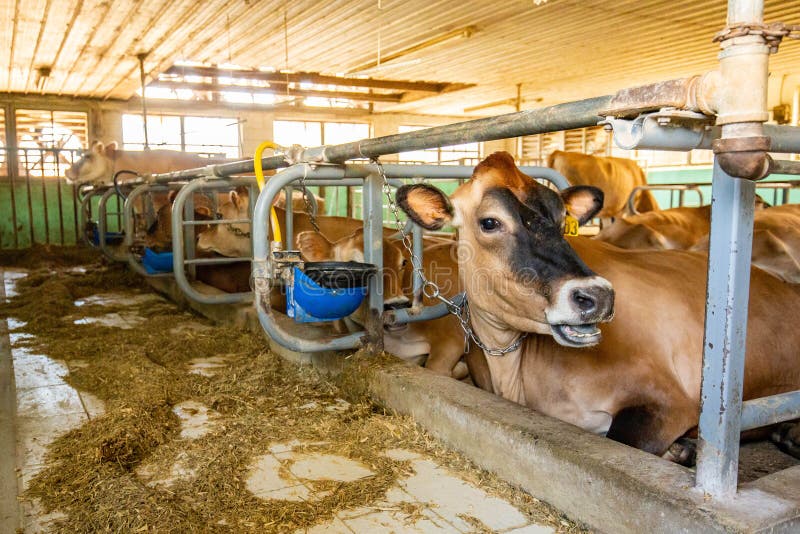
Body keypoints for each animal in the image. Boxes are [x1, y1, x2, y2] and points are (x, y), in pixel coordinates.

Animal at [395, 151, 800, 463]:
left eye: (563, 221)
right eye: (490, 221)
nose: (599, 296)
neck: (513, 371)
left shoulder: (670, 399)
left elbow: (624, 438)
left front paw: (682, 449)